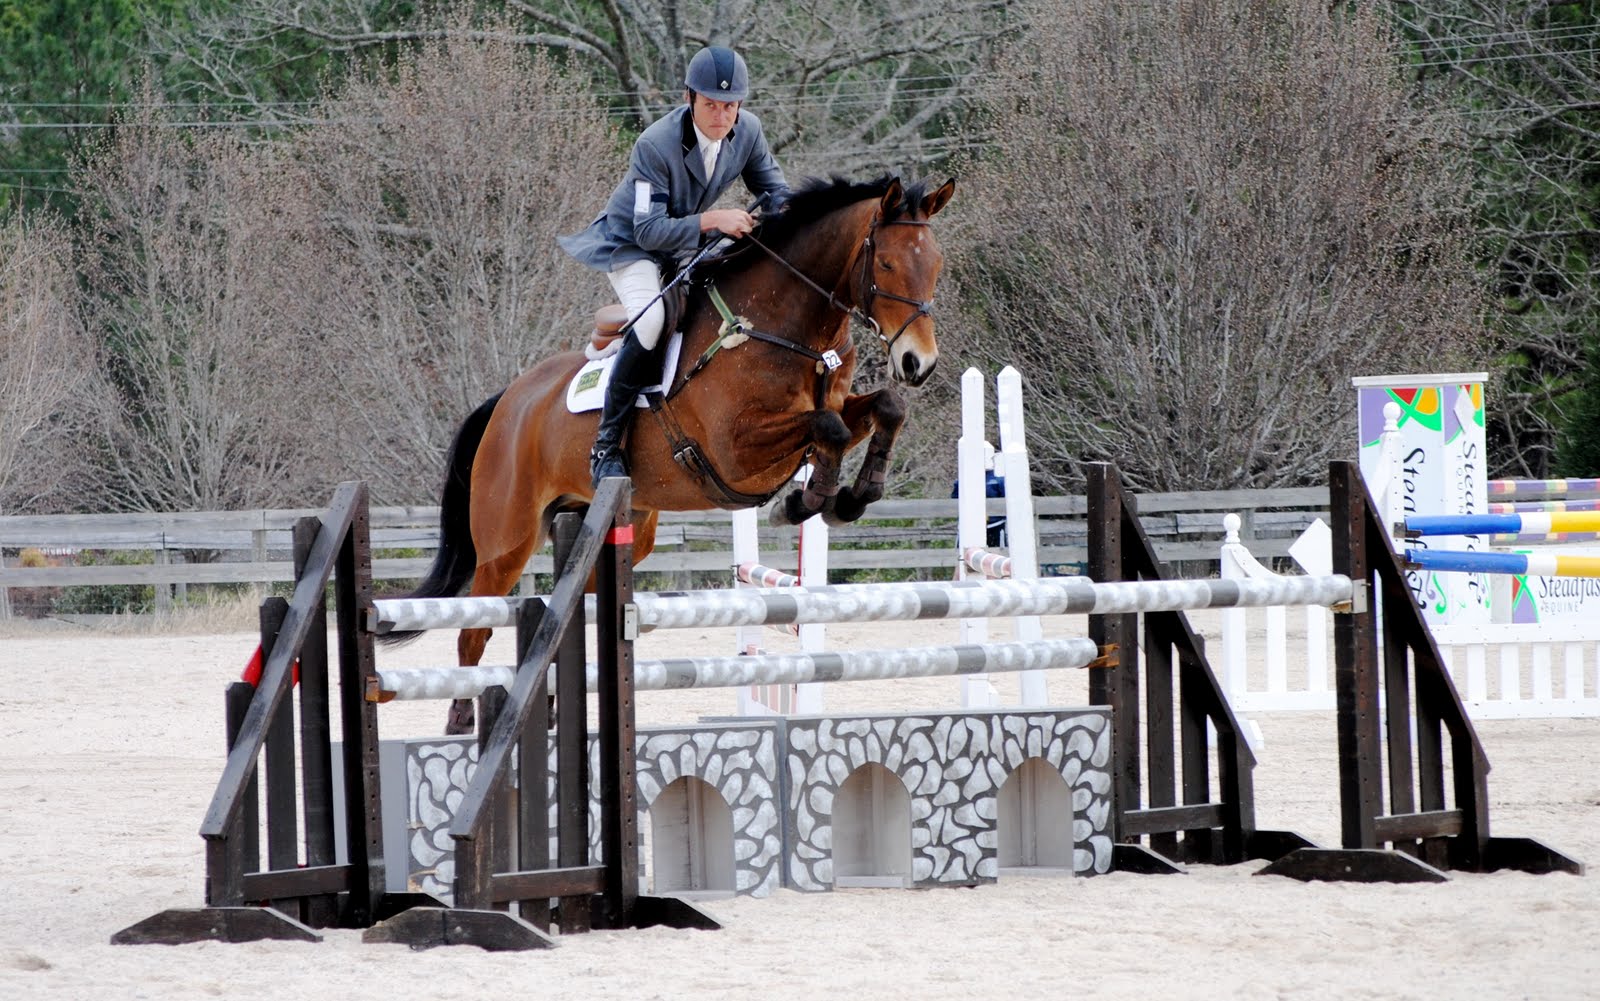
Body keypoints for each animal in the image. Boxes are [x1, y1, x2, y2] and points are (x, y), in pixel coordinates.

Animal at [386, 174, 955, 733]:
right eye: (886, 264)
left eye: (935, 265)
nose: (918, 363)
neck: (783, 326)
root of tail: (508, 400)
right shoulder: (736, 449)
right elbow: (829, 428)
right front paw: (806, 501)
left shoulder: (831, 410)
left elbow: (885, 407)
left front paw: (854, 496)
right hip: (507, 539)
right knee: (474, 628)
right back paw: (461, 715)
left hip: (619, 527)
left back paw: (541, 705)